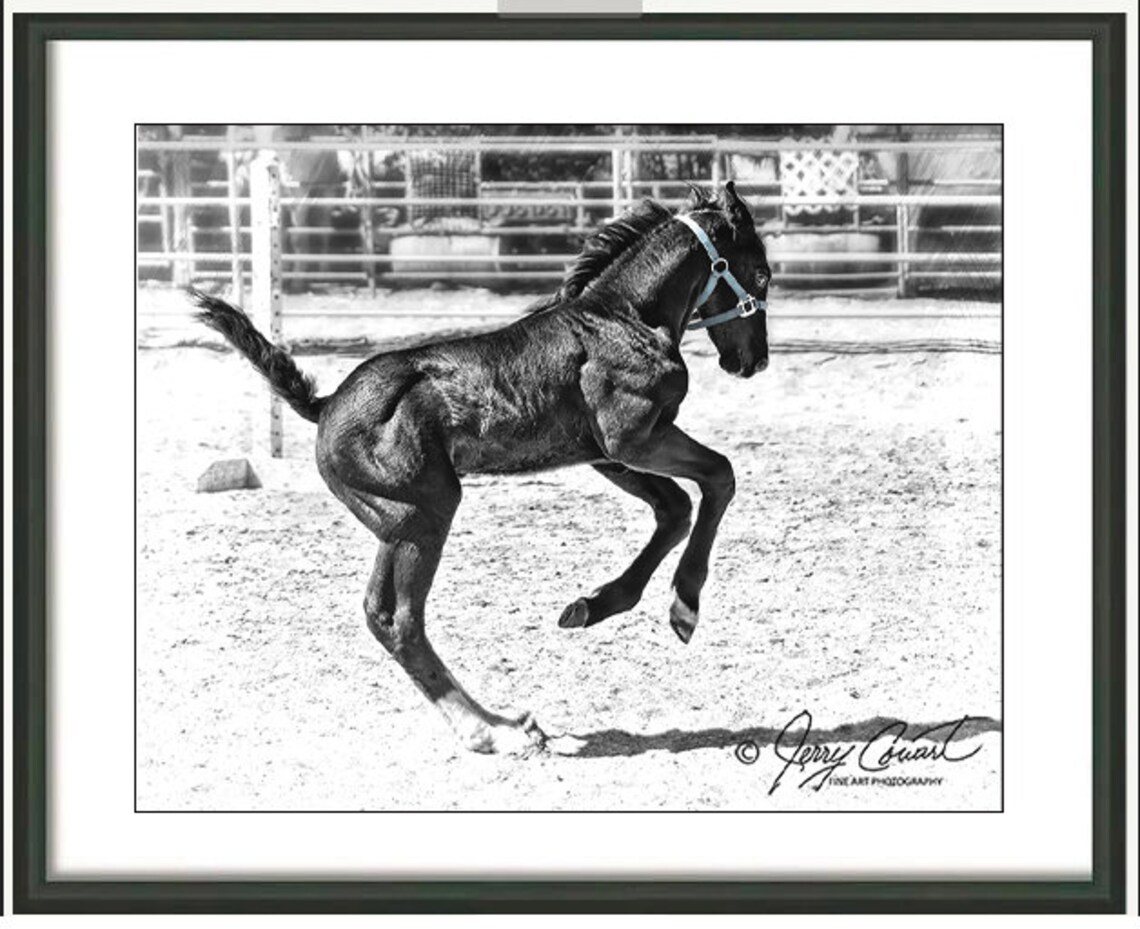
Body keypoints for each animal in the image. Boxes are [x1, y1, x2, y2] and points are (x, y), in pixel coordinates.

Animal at [192, 181, 771, 756]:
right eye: (763, 274)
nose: (754, 362)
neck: (623, 318)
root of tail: (325, 404)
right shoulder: (634, 438)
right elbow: (720, 476)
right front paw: (684, 607)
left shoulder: (605, 453)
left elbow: (674, 508)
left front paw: (594, 605)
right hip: (423, 515)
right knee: (399, 619)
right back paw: (496, 731)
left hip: (402, 523)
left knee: (382, 614)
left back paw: (499, 724)